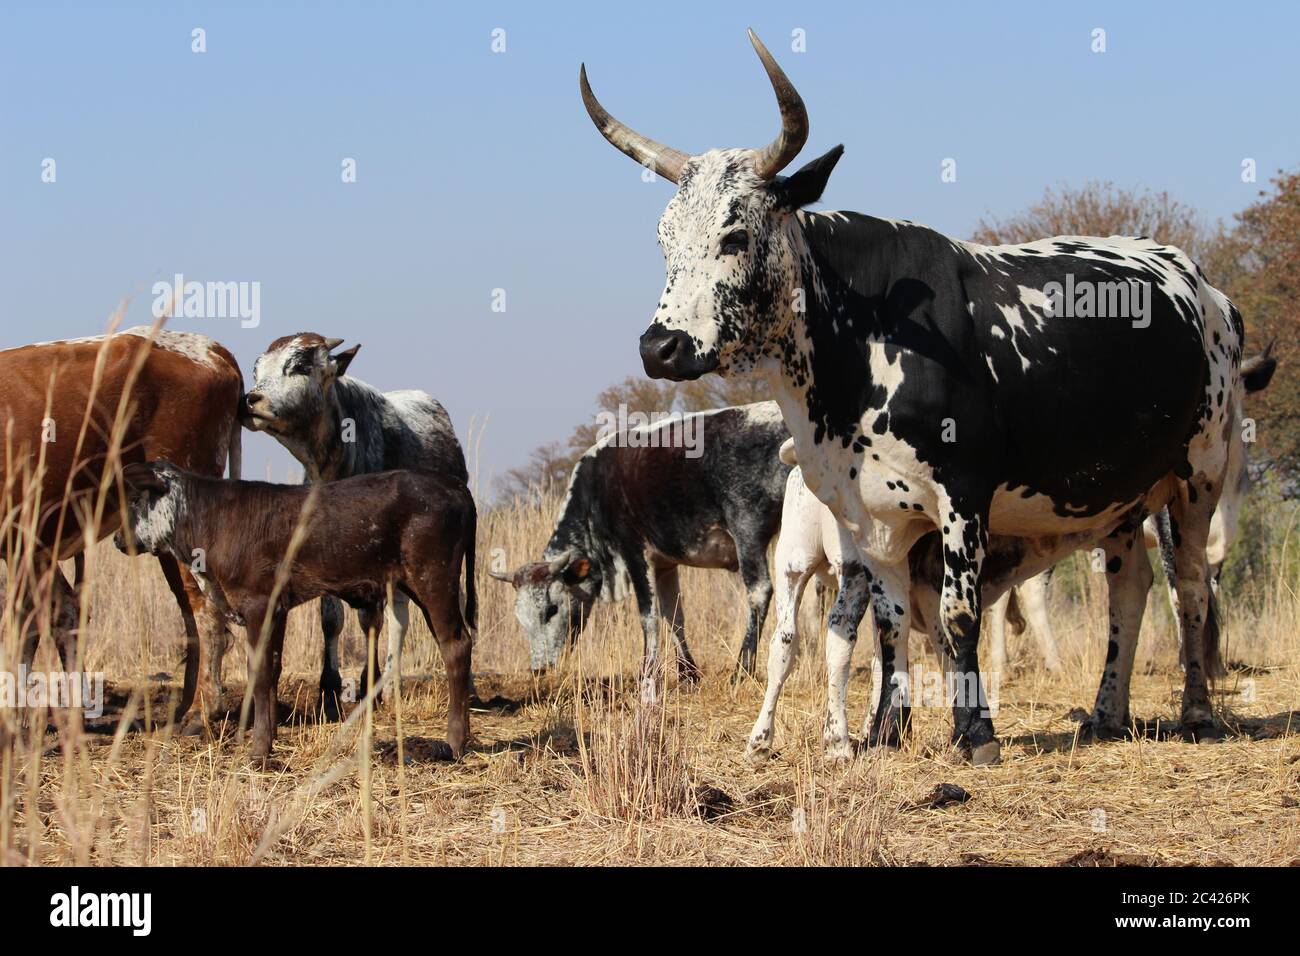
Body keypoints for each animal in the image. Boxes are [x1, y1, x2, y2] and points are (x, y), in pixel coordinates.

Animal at [115, 461, 477, 763]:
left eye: (134, 501)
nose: (119, 539)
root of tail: (452, 484)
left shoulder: (258, 603)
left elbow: (260, 672)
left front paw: (258, 750)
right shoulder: (277, 609)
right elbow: (273, 668)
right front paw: (267, 737)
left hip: (433, 578)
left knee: (455, 645)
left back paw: (455, 741)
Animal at [240, 333, 468, 720]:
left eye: (299, 366)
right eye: (257, 369)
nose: (252, 399)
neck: (333, 459)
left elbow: (369, 620)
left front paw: (367, 686)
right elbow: (331, 618)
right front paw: (329, 690)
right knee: (400, 616)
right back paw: (390, 684)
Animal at [490, 402, 789, 694]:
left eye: (551, 610)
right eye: (521, 619)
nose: (538, 668)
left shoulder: (634, 551)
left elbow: (648, 616)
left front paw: (647, 675)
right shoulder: (665, 562)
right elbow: (673, 614)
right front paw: (688, 674)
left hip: (746, 529)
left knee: (759, 591)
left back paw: (741, 671)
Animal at [582, 30, 1245, 763]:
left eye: (736, 234)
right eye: (664, 240)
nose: (660, 346)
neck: (855, 345)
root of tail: (1203, 286)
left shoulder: (963, 495)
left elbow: (958, 616)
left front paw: (974, 731)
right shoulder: (869, 518)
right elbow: (889, 624)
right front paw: (884, 731)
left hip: (1200, 475)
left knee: (1191, 586)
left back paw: (1196, 711)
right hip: (1117, 495)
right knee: (1129, 589)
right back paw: (1107, 713)